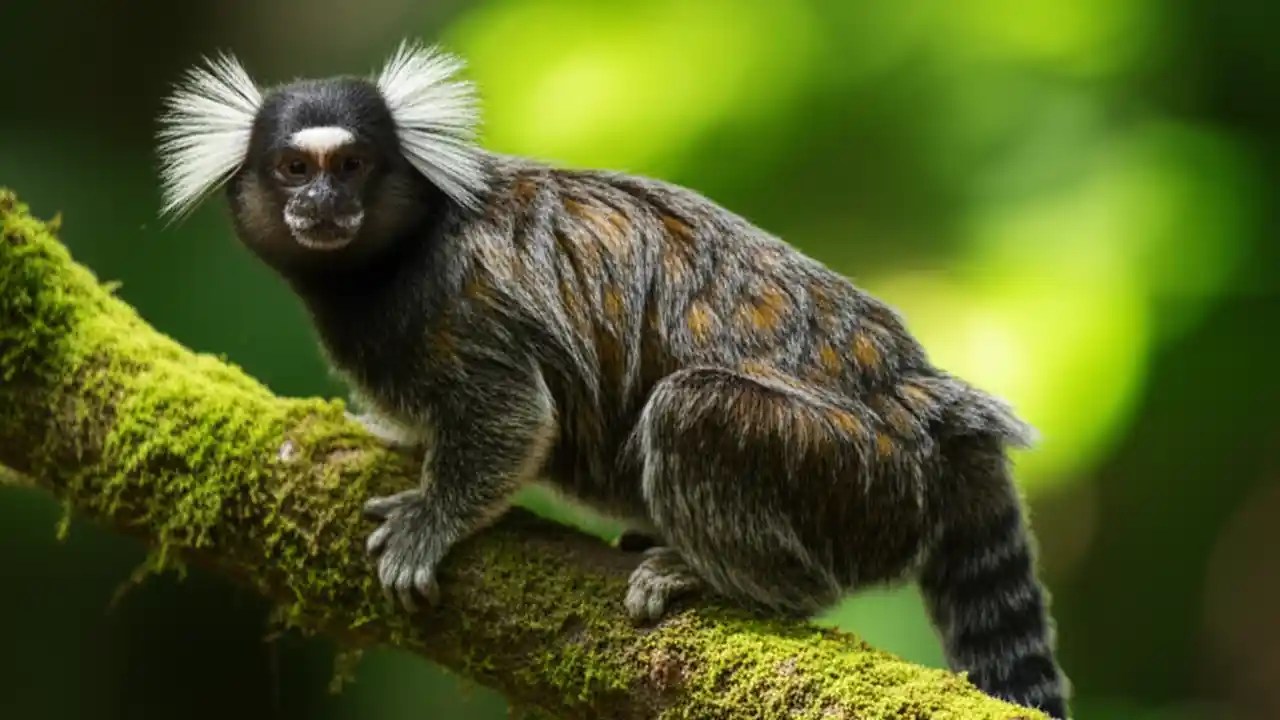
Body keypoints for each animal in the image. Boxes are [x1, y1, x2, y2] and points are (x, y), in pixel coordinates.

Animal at [155, 41, 1070, 718]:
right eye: (291, 168)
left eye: (349, 166)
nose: (321, 205)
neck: (390, 260)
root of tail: (932, 411)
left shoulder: (466, 304)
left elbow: (513, 419)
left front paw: (431, 521)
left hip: (857, 467)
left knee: (695, 412)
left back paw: (723, 576)